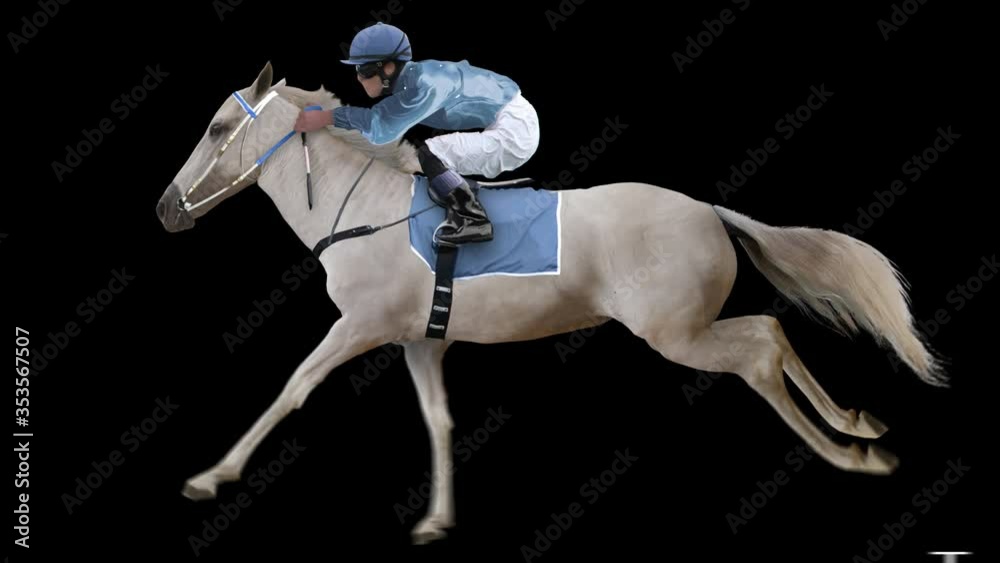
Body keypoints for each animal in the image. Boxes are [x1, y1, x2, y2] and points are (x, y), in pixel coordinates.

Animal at [156, 62, 946, 544]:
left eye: (218, 129)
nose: (165, 209)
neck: (364, 207)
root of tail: (709, 209)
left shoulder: (360, 325)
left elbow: (292, 388)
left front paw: (210, 475)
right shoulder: (419, 339)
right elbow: (438, 420)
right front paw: (437, 519)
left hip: (674, 332)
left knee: (759, 347)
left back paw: (848, 453)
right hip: (684, 325)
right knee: (772, 330)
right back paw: (857, 421)